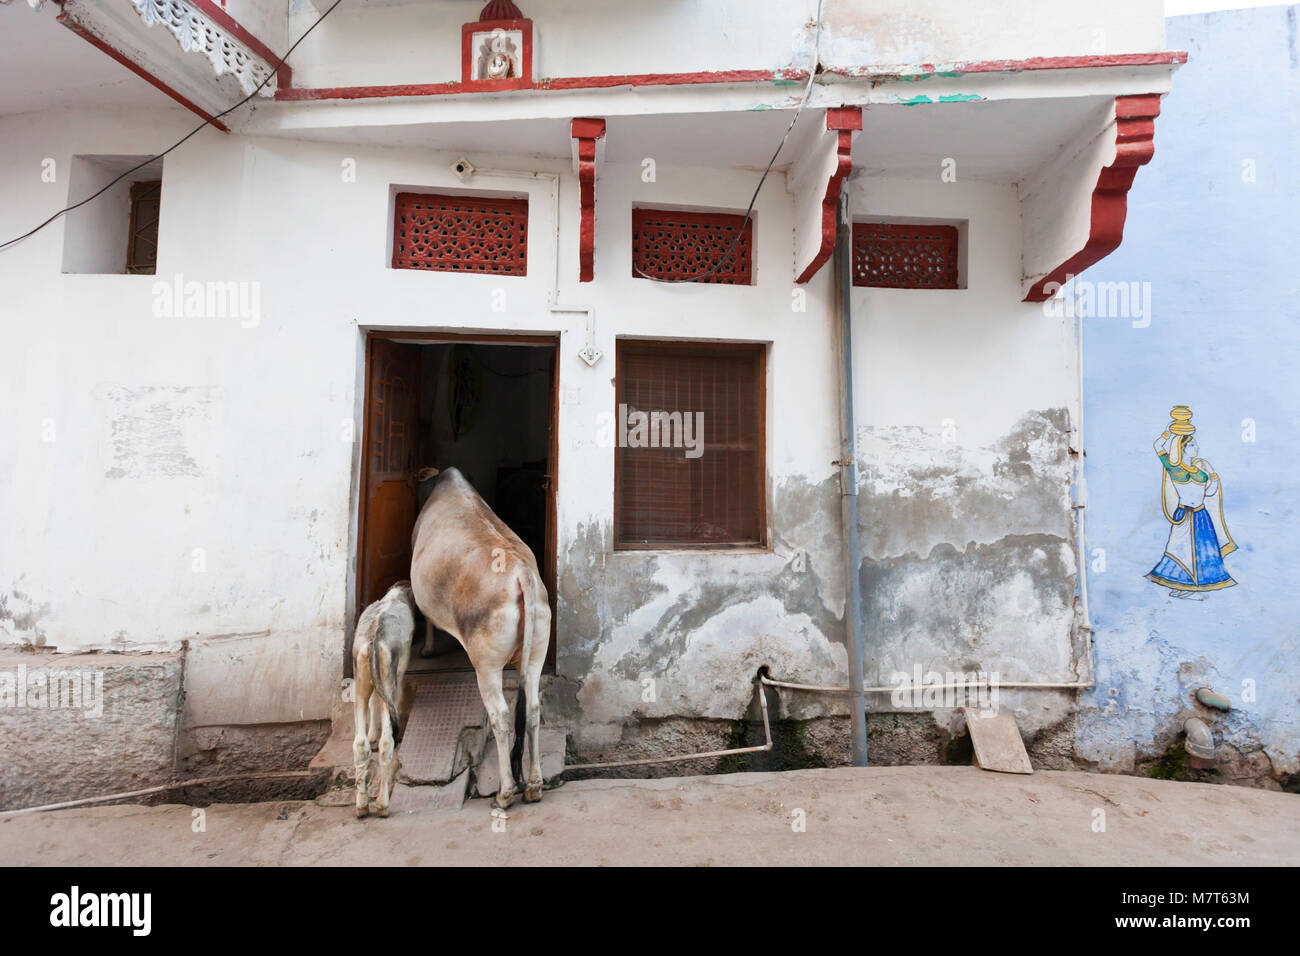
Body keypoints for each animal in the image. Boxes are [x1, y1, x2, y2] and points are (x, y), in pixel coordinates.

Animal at [351, 581, 417, 818]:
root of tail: (375, 637)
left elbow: (373, 703)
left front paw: (372, 733)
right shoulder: (400, 666)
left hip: (360, 673)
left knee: (360, 744)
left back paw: (361, 805)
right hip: (388, 674)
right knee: (387, 742)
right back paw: (382, 805)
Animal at [410, 467, 551, 809]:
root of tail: (522, 573)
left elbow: (429, 618)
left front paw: (428, 650)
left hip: (486, 664)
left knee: (500, 716)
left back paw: (505, 792)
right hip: (536, 654)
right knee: (532, 709)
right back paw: (534, 786)